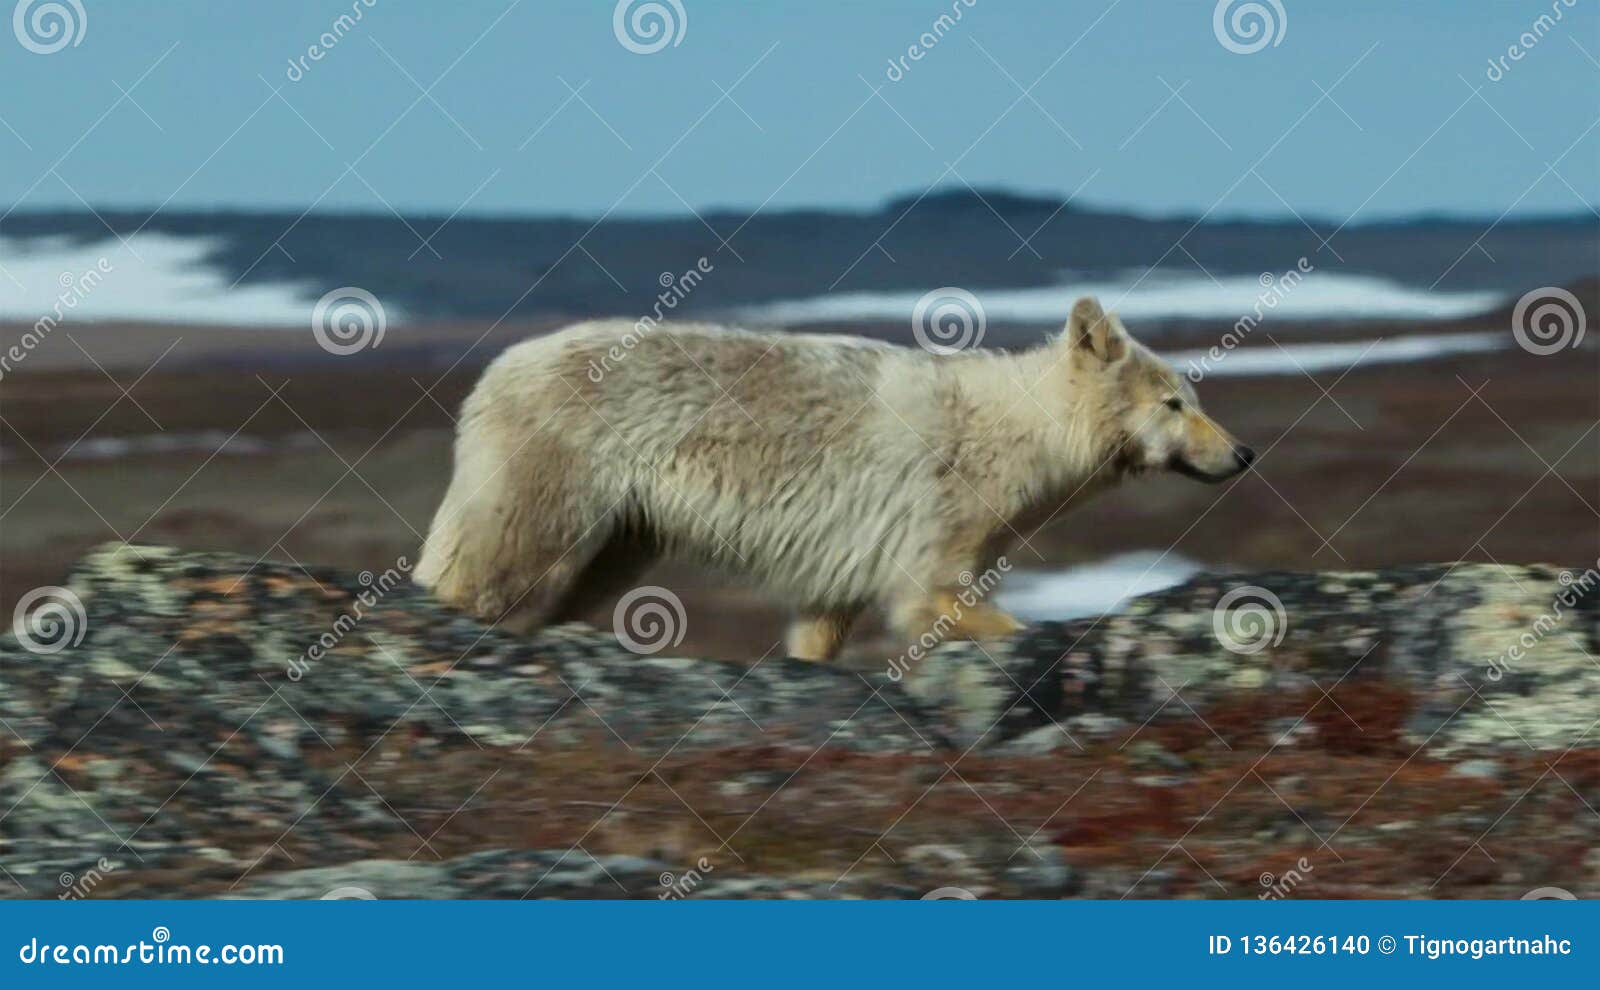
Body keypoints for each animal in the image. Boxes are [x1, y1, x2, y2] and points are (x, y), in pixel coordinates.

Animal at [414, 296, 1254, 661]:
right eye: (1176, 402)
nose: (1242, 453)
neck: (1012, 425)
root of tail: (491, 372)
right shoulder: (941, 497)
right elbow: (930, 598)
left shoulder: (859, 541)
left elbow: (826, 617)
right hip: (559, 459)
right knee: (499, 551)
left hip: (623, 520)